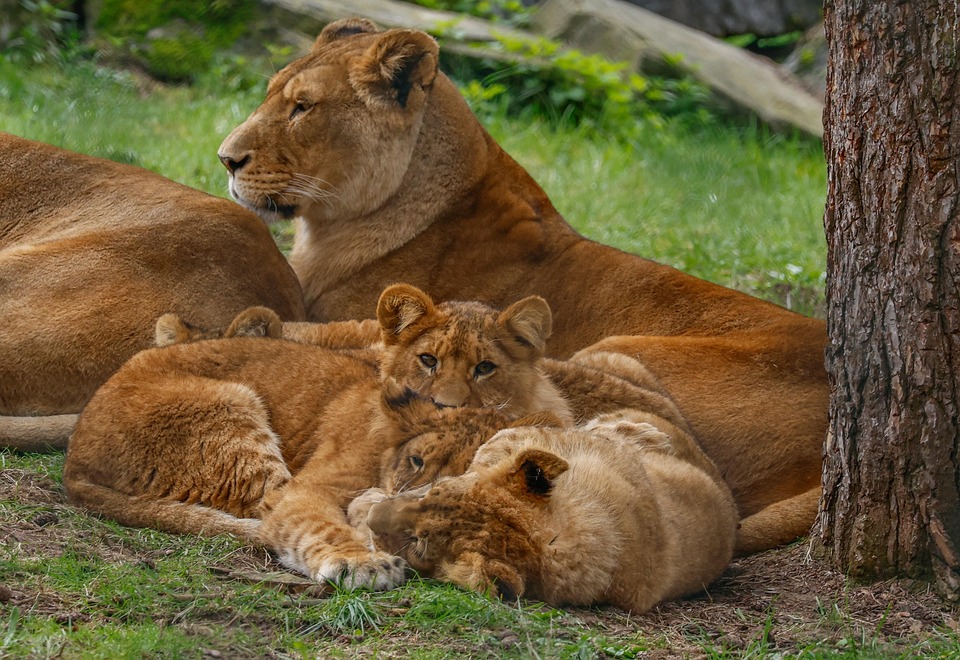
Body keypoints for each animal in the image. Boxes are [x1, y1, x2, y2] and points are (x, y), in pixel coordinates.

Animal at [64, 284, 570, 589]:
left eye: (485, 368)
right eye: (417, 462)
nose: (444, 403)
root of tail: (74, 459)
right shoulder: (313, 487)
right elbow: (315, 521)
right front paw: (360, 562)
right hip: (234, 408)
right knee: (267, 518)